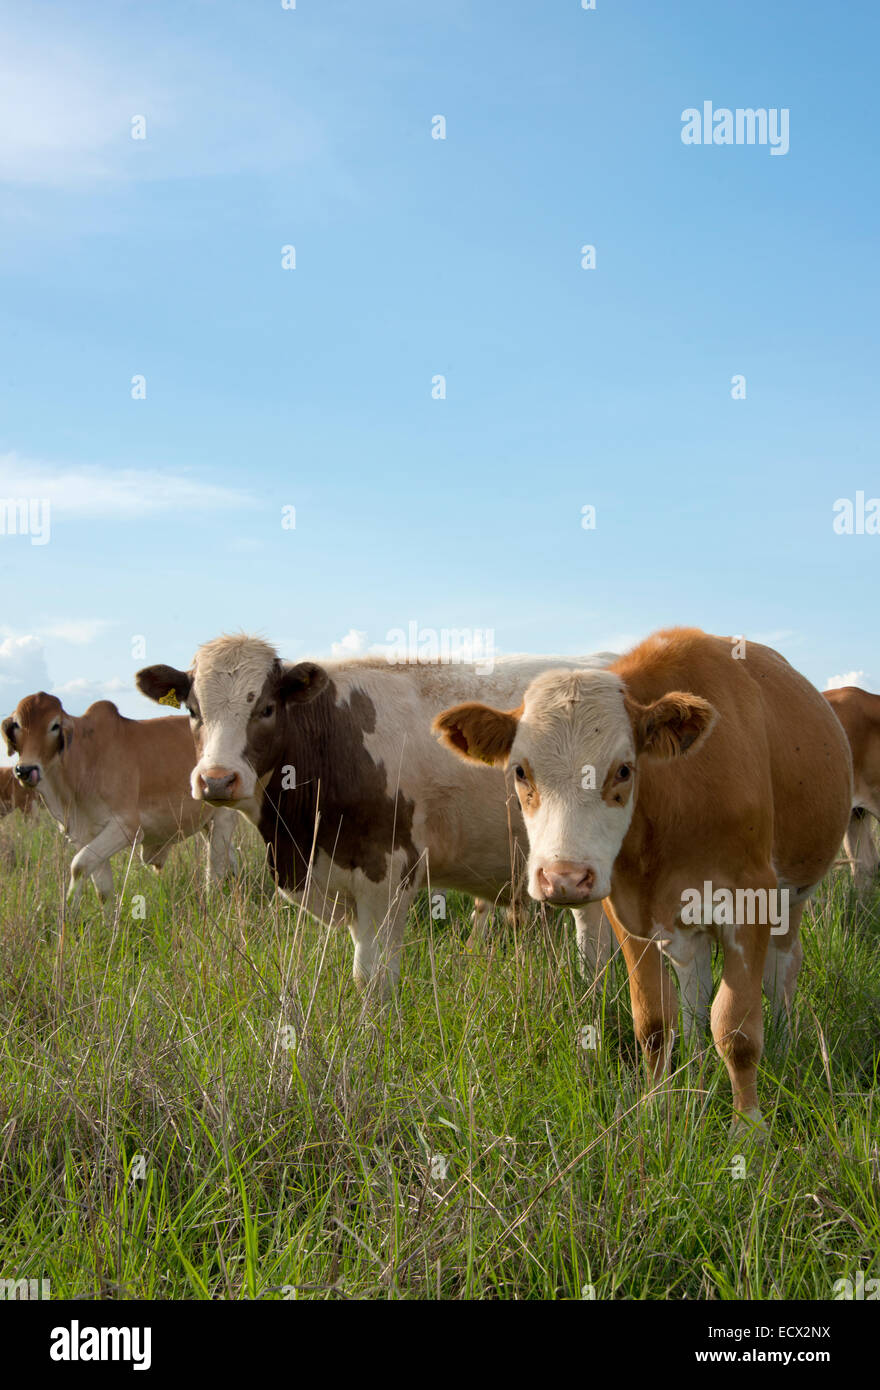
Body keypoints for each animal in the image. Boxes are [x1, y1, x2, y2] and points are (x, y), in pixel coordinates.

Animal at [1, 692, 238, 906]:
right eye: (17, 725)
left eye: (54, 726)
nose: (25, 770)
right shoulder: (85, 836)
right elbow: (102, 889)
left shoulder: (126, 828)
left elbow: (78, 866)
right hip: (209, 823)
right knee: (230, 859)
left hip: (223, 816)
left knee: (215, 870)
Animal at [134, 636, 616, 990]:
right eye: (193, 711)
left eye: (266, 708)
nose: (216, 780)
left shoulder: (386, 874)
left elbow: (374, 979)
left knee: (593, 937)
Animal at [433, 628, 853, 1131]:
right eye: (520, 771)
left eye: (623, 769)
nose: (563, 878)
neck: (675, 803)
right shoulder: (629, 911)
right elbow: (654, 1022)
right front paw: (658, 1109)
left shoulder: (749, 900)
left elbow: (736, 1029)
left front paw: (748, 1128)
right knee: (694, 987)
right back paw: (696, 1068)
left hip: (791, 900)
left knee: (781, 975)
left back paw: (785, 1047)